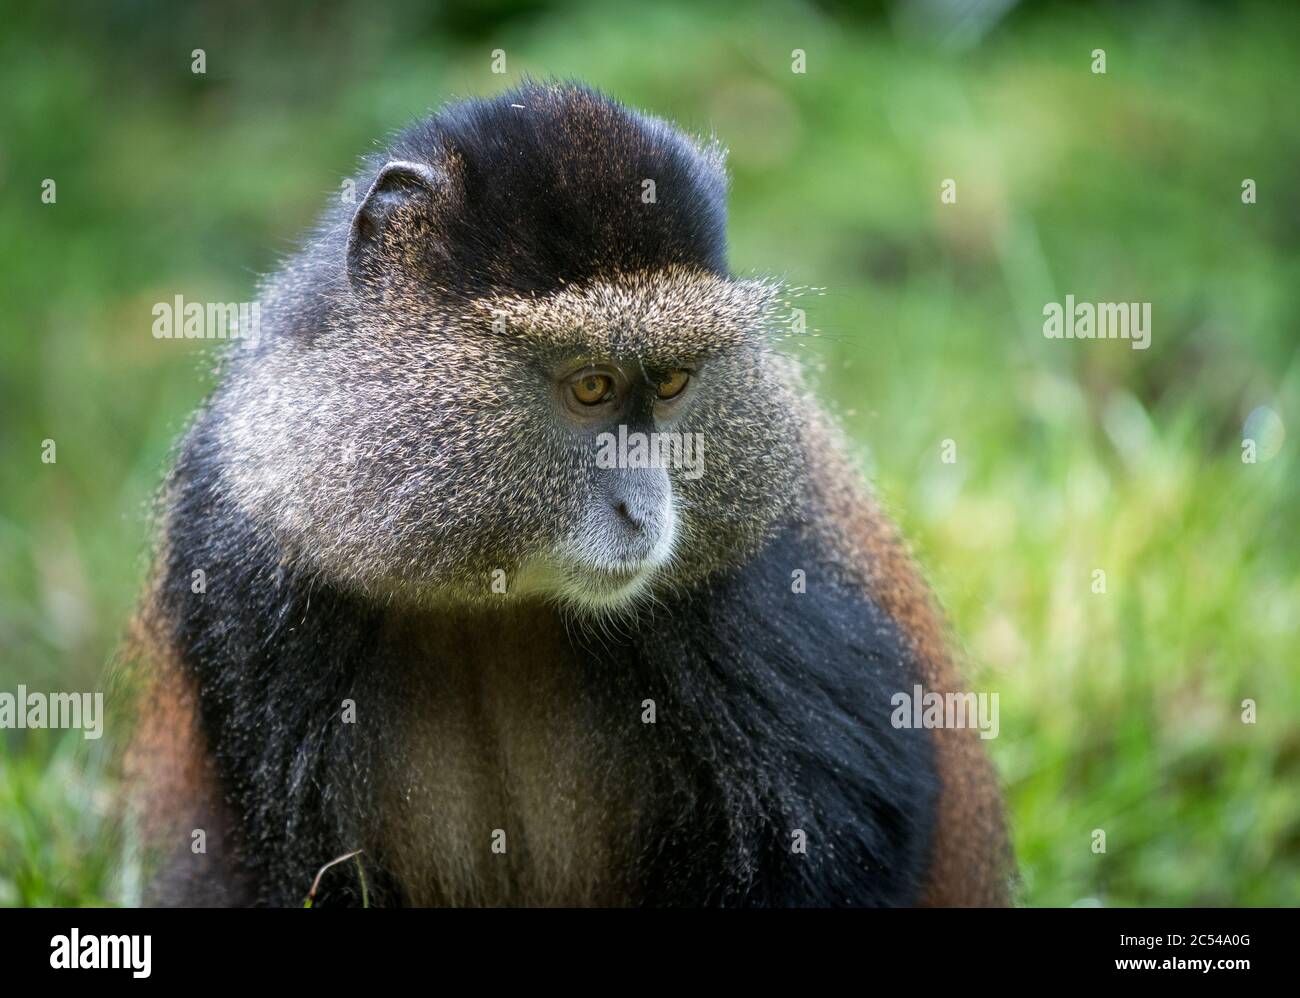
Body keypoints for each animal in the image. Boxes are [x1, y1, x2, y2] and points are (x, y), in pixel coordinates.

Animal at [124, 80, 1012, 907]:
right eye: (591, 387)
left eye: (673, 383)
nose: (645, 513)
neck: (493, 591)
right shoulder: (240, 540)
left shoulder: (766, 566)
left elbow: (848, 826)